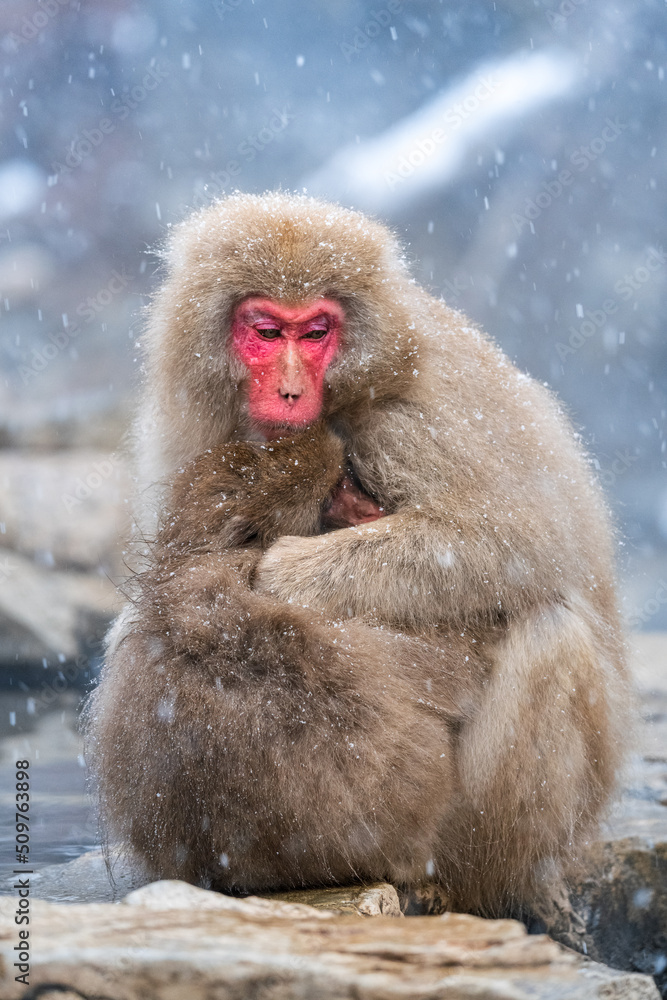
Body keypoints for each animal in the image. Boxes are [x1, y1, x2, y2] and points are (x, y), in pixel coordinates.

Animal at [86, 191, 629, 919]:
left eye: (316, 332)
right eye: (267, 331)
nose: (290, 392)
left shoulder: (411, 415)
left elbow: (517, 541)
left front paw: (281, 574)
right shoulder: (193, 412)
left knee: (549, 630)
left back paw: (488, 885)